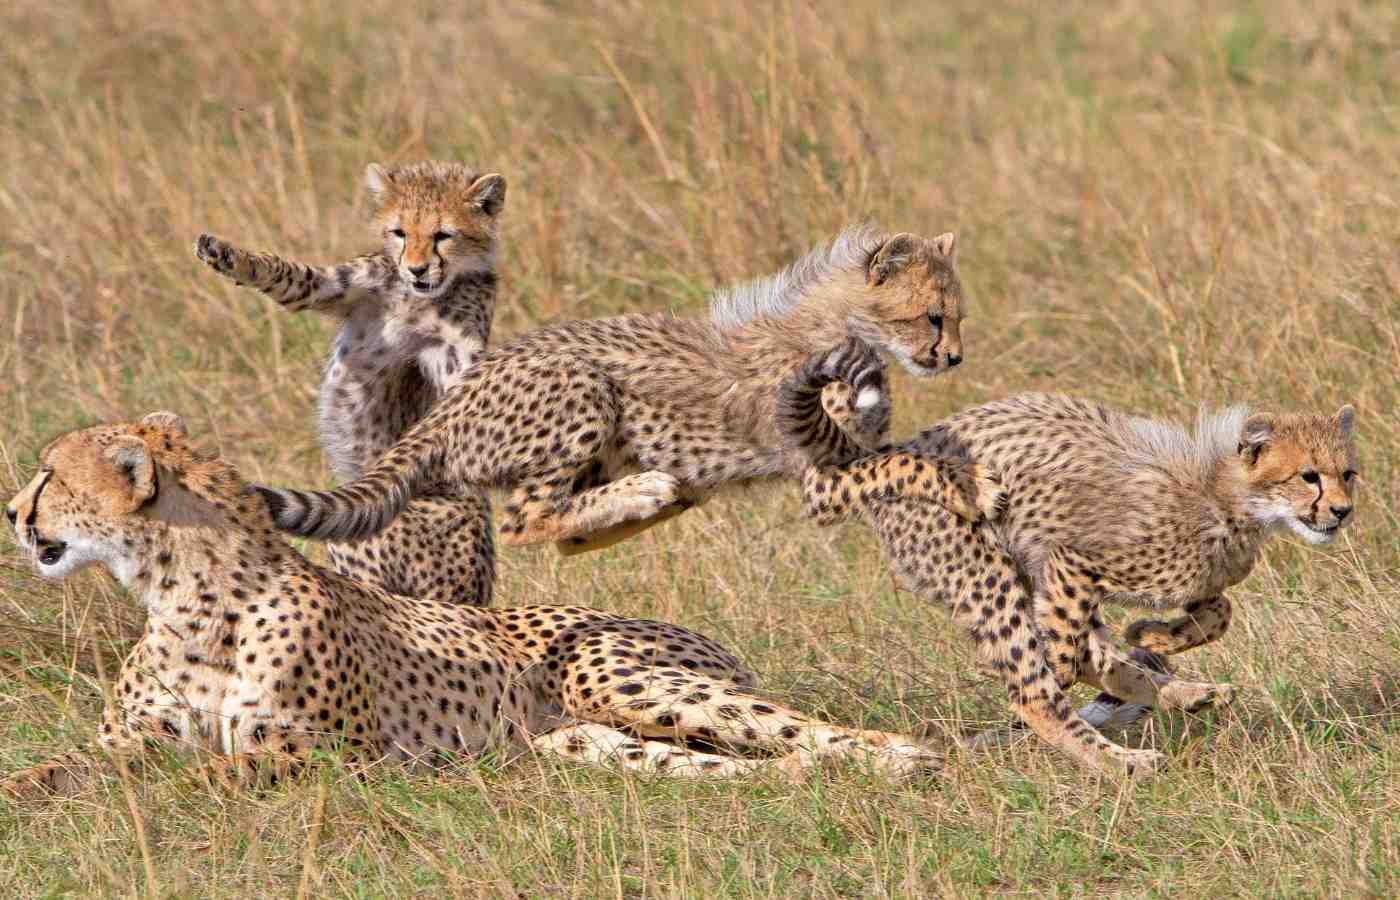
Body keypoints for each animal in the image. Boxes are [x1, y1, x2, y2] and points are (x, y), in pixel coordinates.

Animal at [1, 414, 941, 800]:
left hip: (615, 675)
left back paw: (904, 761)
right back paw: (800, 779)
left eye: (49, 475)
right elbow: (60, 769)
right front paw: (27, 795)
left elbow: (202, 769)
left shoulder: (329, 758)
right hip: (582, 743)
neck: (184, 599)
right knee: (729, 763)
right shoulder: (126, 741)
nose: (12, 511)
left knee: (810, 730)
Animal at [194, 160, 505, 606]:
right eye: (400, 232)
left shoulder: (457, 353)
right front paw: (225, 254)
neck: (417, 296)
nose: (416, 268)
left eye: (443, 235)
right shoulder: (335, 285)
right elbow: (286, 274)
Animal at [250, 225, 975, 556]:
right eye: (933, 317)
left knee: (561, 526)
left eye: (957, 316)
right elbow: (907, 460)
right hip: (580, 385)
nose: (954, 356)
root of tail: (451, 403)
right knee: (525, 522)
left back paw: (649, 498)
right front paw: (971, 487)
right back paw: (647, 491)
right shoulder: (821, 474)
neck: (842, 328)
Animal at [779, 383, 1359, 777]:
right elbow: (1062, 657)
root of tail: (897, 449)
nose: (1342, 511)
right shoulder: (1069, 560)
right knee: (1039, 685)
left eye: (1347, 473)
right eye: (1308, 476)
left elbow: (1218, 610)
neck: (1227, 501)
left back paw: (1187, 692)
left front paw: (1152, 634)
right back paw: (1121, 758)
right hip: (988, 570)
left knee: (1092, 654)